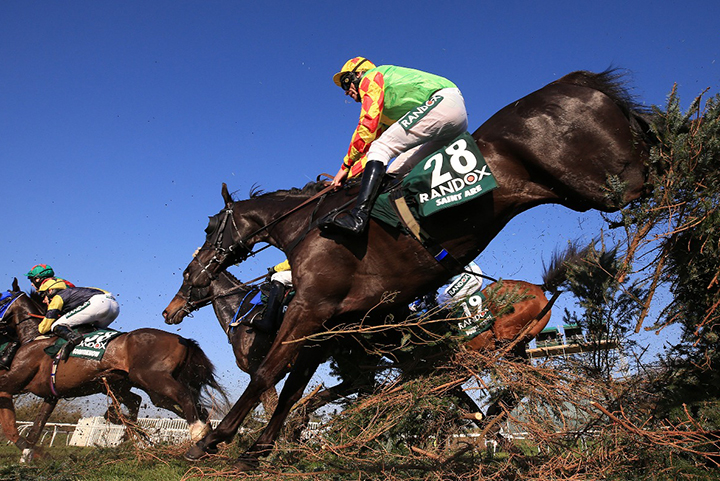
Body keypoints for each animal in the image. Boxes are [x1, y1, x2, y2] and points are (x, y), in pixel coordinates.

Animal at [0, 278, 226, 462]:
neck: (35, 338)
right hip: (154, 390)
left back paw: (198, 434)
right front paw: (28, 456)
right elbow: (35, 428)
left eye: (3, 300)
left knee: (185, 397)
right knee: (194, 406)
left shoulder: (13, 380)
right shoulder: (51, 395)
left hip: (153, 378)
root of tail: (184, 340)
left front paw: (37, 455)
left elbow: (10, 426)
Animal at [163, 69, 655, 468]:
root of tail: (577, 82)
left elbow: (271, 375)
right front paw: (260, 448)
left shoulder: (311, 307)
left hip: (608, 183)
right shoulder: (333, 324)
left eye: (208, 228)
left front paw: (214, 441)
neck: (309, 226)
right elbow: (296, 386)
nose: (172, 308)